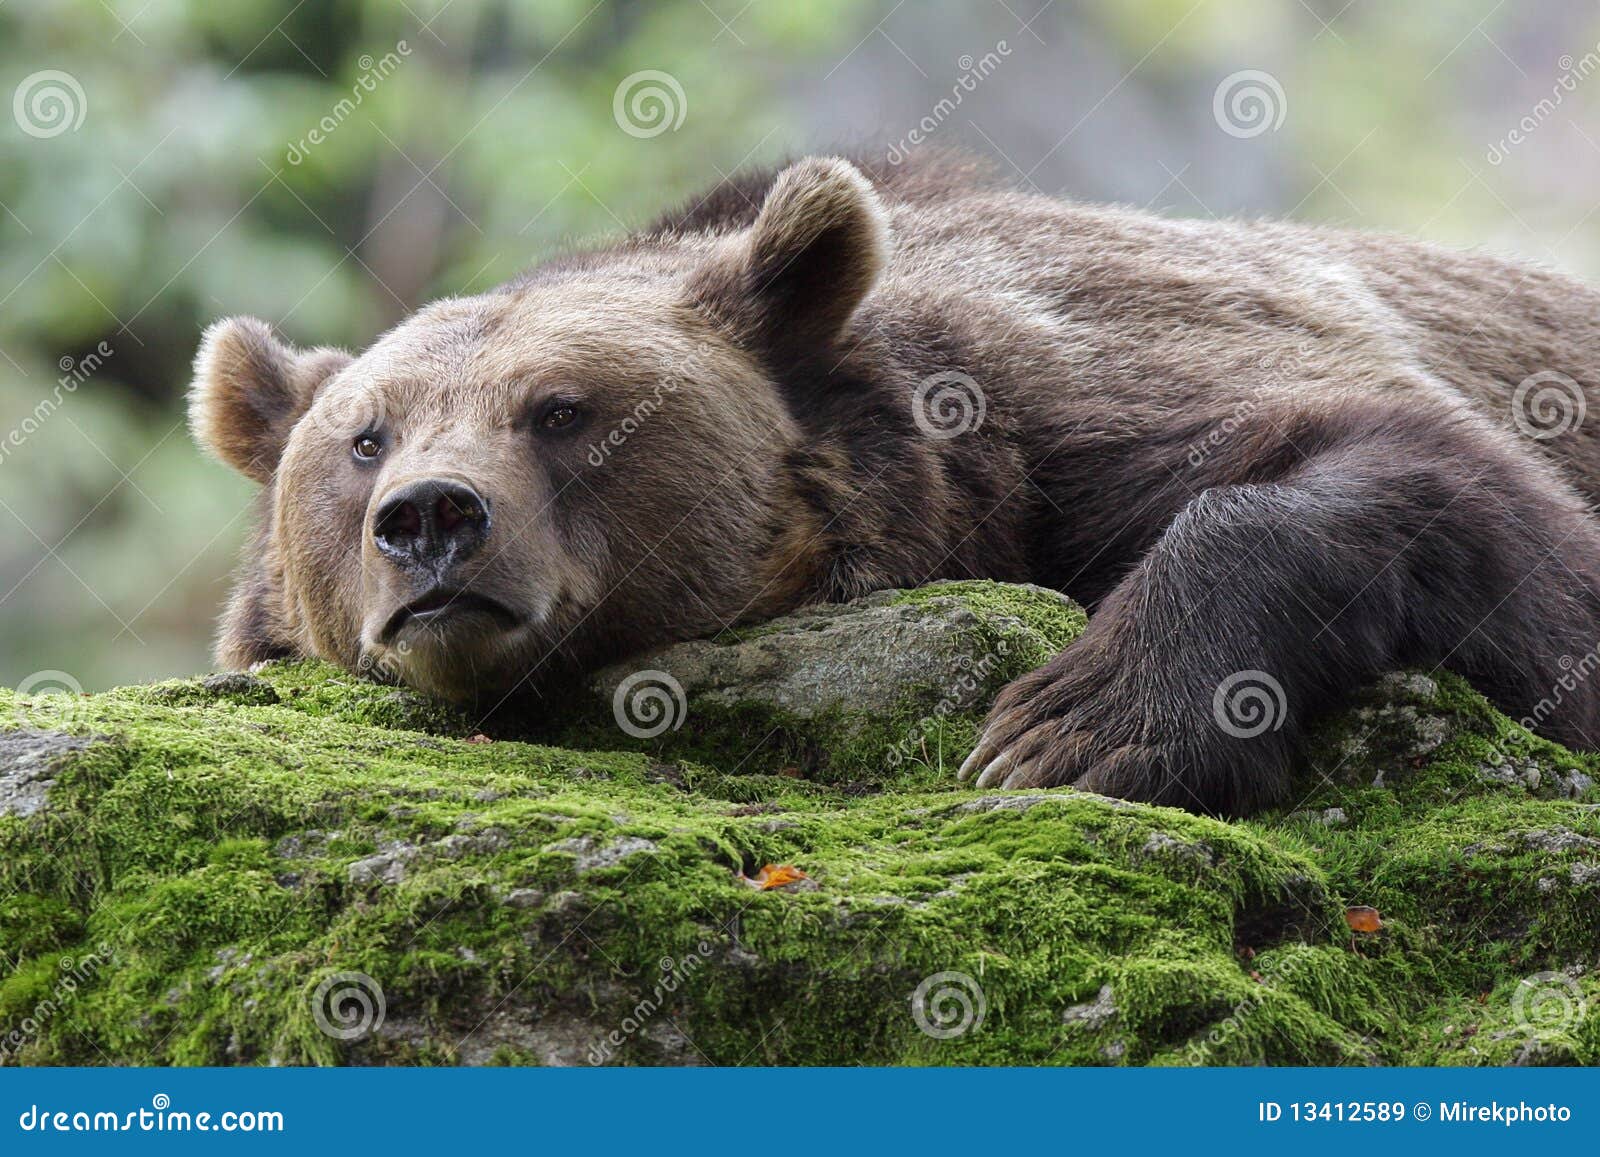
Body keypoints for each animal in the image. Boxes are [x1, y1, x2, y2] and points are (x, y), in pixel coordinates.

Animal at [189, 151, 1600, 816]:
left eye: (561, 410)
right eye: (366, 438)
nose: (432, 519)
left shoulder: (1069, 393)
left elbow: (1436, 481)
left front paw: (1072, 725)